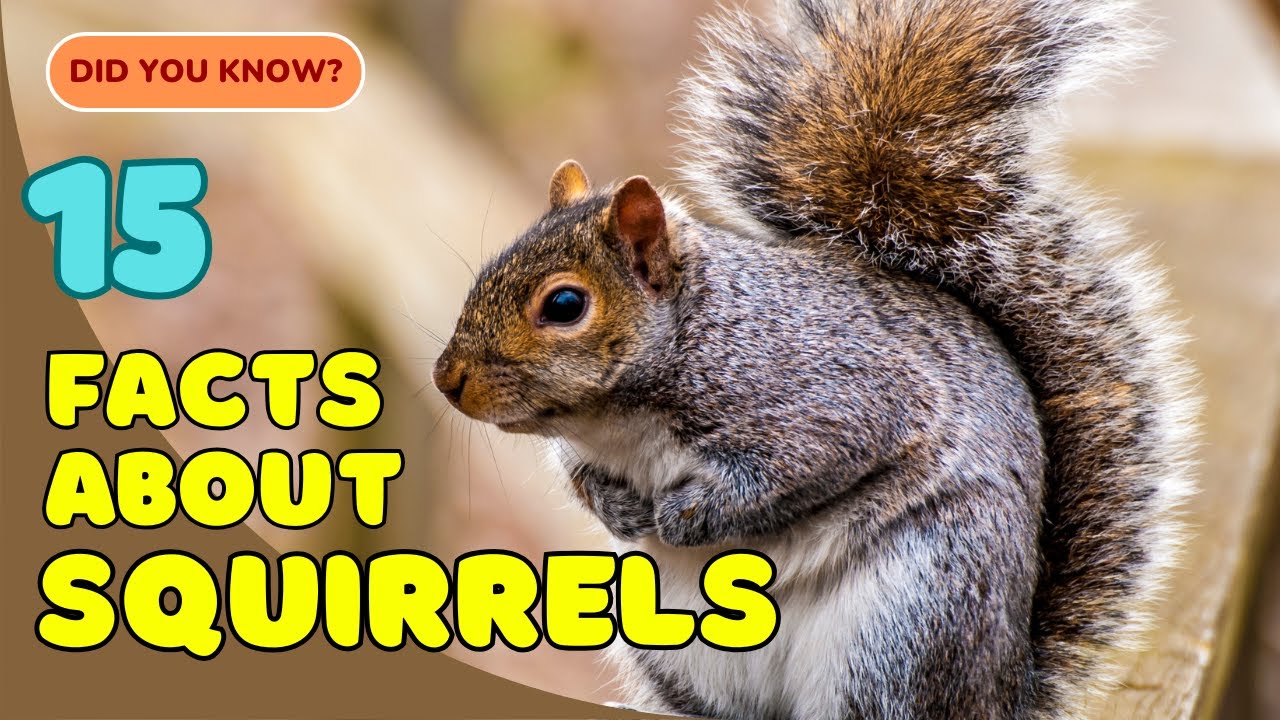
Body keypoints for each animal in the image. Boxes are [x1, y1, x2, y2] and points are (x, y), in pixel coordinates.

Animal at [432, 0, 1197, 717]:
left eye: (564, 305)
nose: (448, 380)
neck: (623, 418)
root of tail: (1001, 692)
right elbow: (583, 478)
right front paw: (618, 509)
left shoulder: (828, 396)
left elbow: (797, 471)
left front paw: (688, 516)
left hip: (909, 618)